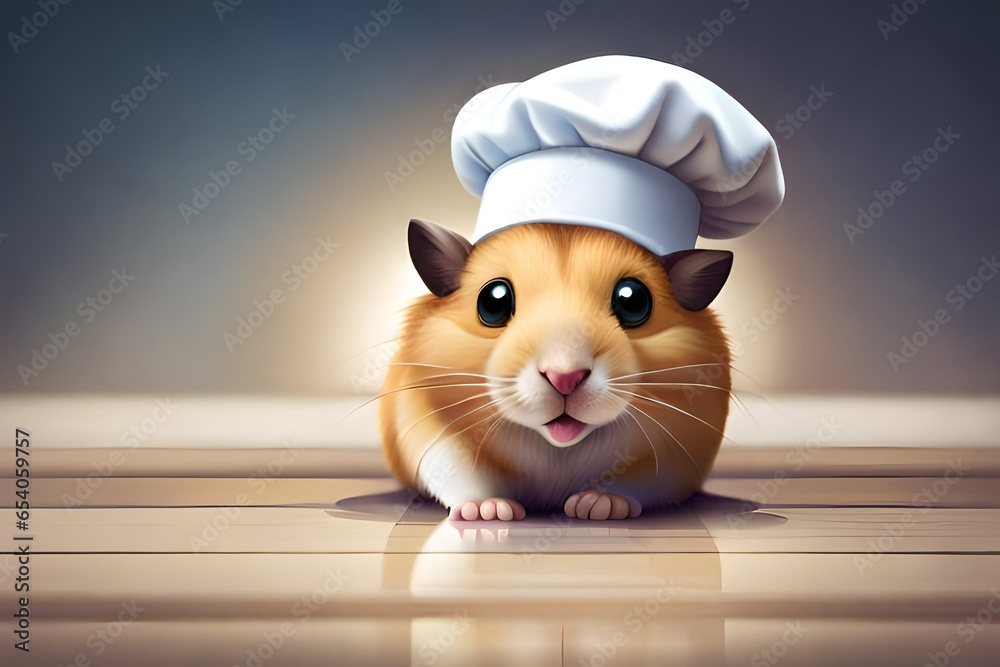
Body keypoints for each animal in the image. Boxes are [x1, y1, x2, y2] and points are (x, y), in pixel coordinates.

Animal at [378, 219, 733, 521]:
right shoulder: (433, 432)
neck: (557, 449)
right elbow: (459, 471)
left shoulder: (678, 454)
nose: (565, 378)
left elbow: (640, 480)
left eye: (633, 301)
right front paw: (491, 511)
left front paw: (596, 506)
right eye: (493, 301)